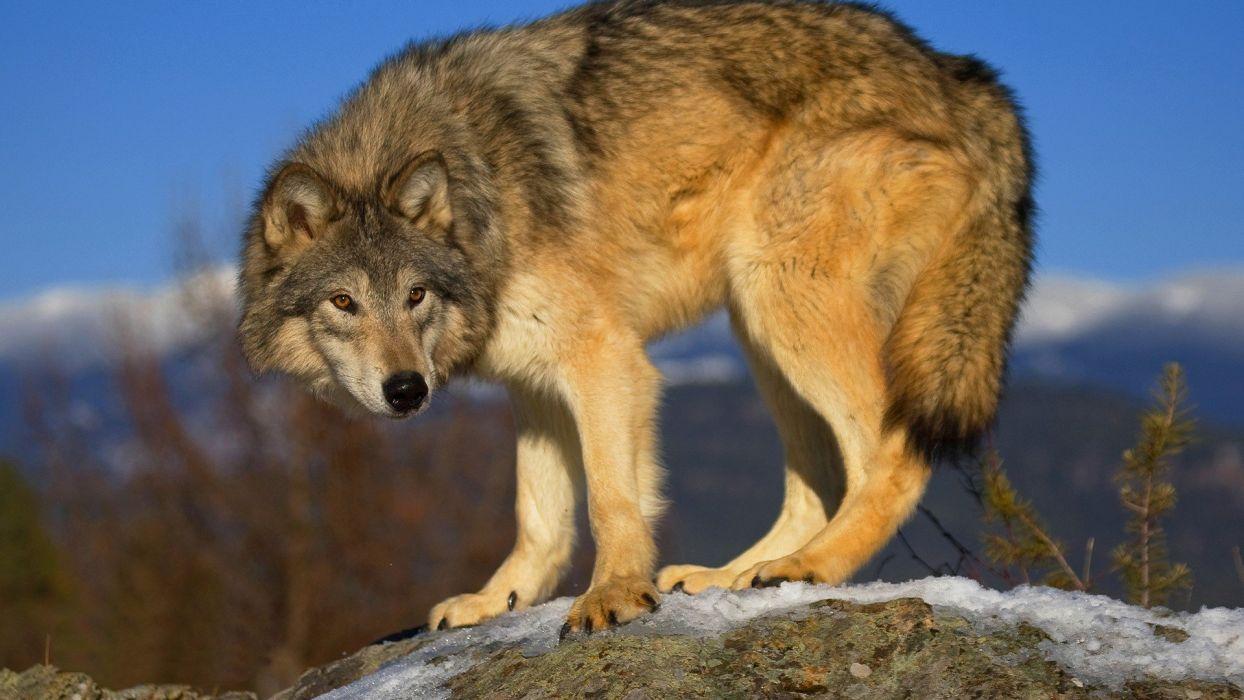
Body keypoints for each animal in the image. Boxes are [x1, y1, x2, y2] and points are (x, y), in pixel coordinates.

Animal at [238, 0, 1033, 635]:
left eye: (414, 296)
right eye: (344, 302)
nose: (407, 391)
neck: (479, 187)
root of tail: (957, 73)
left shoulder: (604, 357)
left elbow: (611, 498)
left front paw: (614, 594)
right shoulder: (533, 384)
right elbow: (539, 516)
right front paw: (499, 601)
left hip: (783, 298)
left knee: (890, 456)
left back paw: (812, 566)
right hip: (759, 328)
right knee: (820, 483)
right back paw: (734, 575)